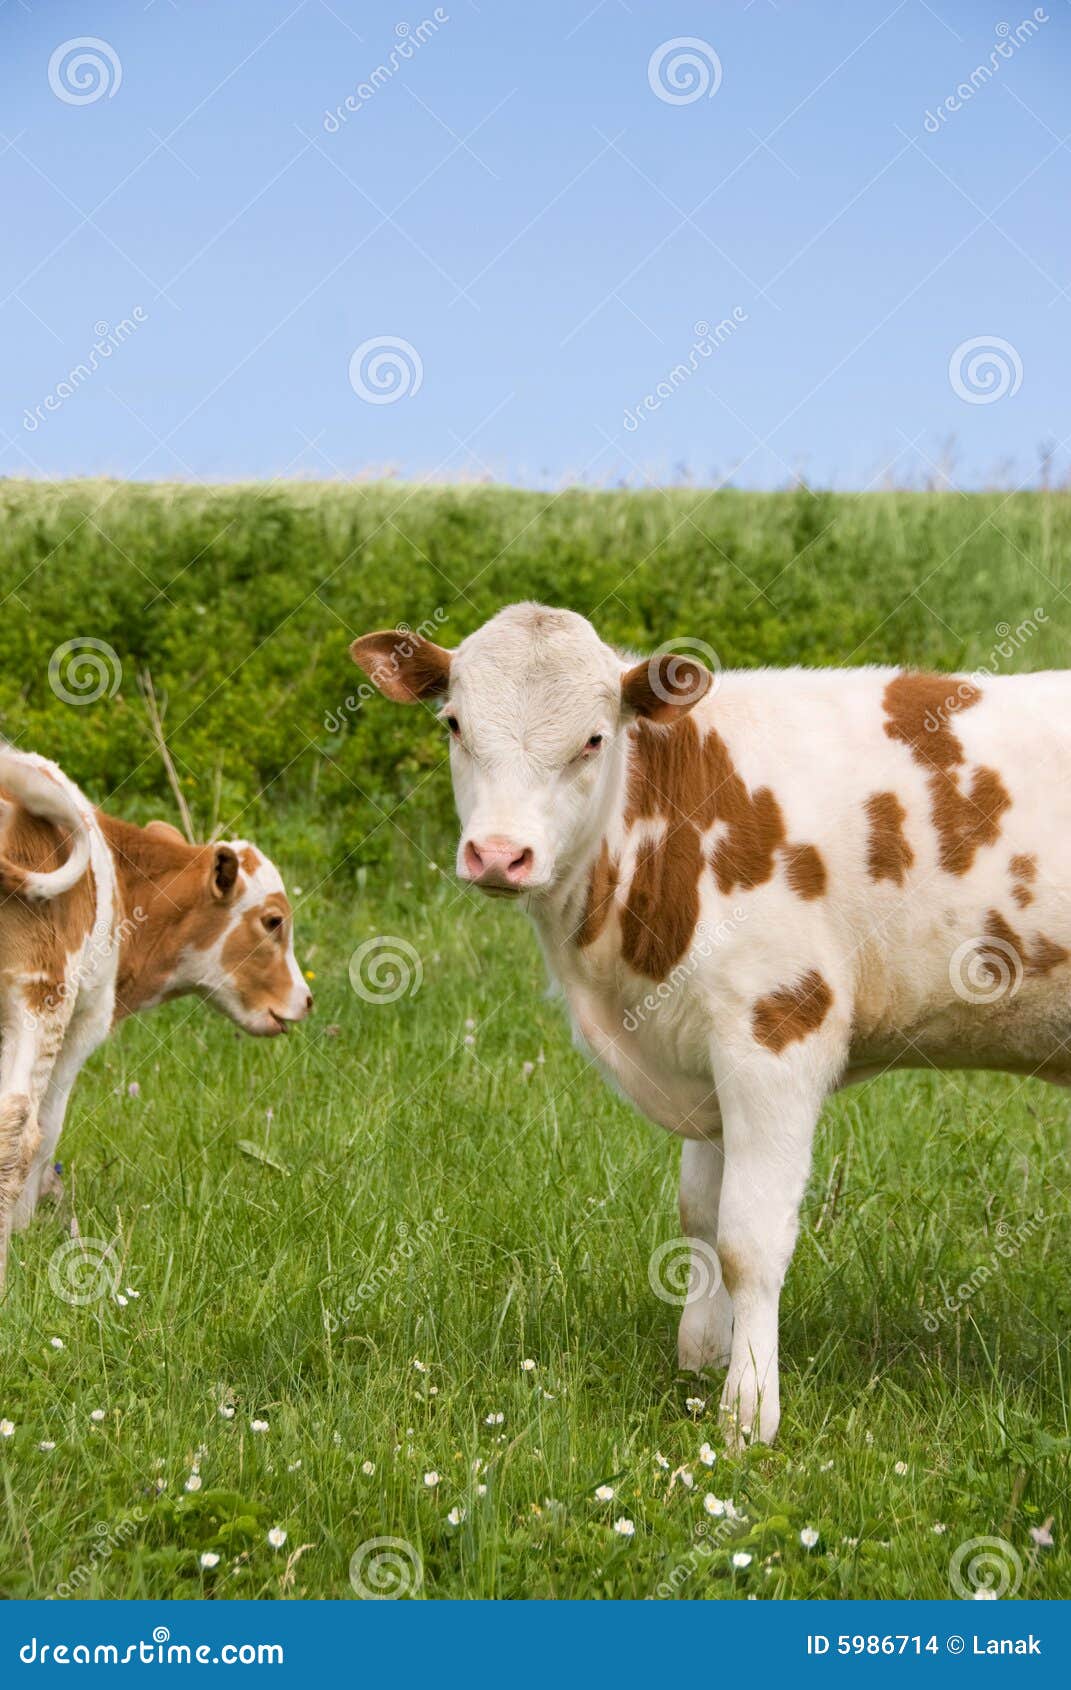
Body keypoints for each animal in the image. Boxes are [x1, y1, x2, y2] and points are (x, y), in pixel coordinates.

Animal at [0, 745, 312, 1292]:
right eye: (273, 921)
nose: (306, 998)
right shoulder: (81, 1020)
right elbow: (46, 1127)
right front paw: (23, 1231)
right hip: (41, 996)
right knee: (18, 1124)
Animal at [351, 601, 1067, 1446]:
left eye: (592, 739)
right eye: (455, 724)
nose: (498, 855)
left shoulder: (776, 1028)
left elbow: (747, 1240)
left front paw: (748, 1410)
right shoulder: (701, 1053)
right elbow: (698, 1211)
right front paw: (699, 1353)